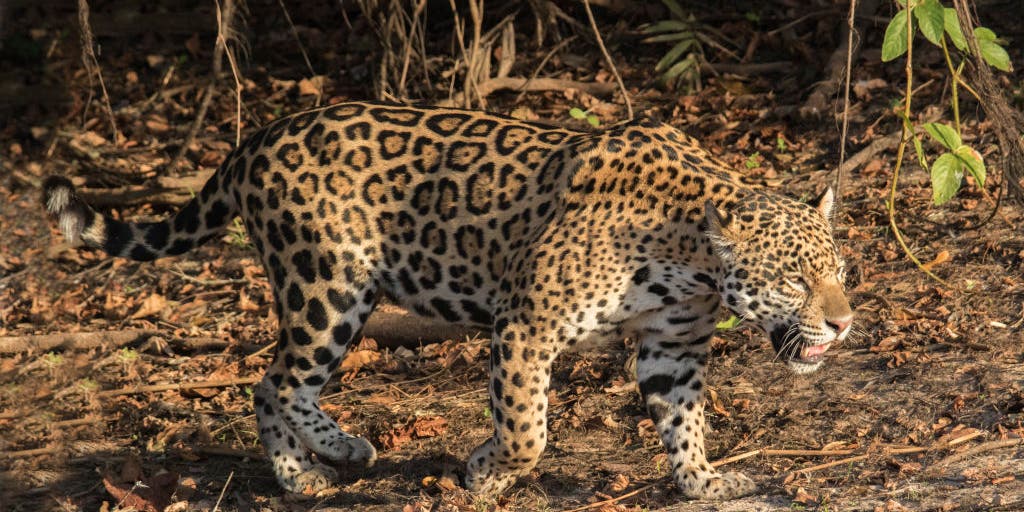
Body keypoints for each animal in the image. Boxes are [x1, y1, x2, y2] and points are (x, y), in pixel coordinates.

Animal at [43, 101, 853, 500]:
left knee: (279, 382)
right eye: (794, 278)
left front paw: (702, 481)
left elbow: (684, 421)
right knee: (274, 382)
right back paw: (317, 466)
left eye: (839, 270)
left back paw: (318, 462)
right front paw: (487, 472)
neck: (690, 258)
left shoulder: (673, 343)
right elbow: (528, 430)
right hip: (325, 287)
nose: (843, 322)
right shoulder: (526, 325)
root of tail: (257, 138)